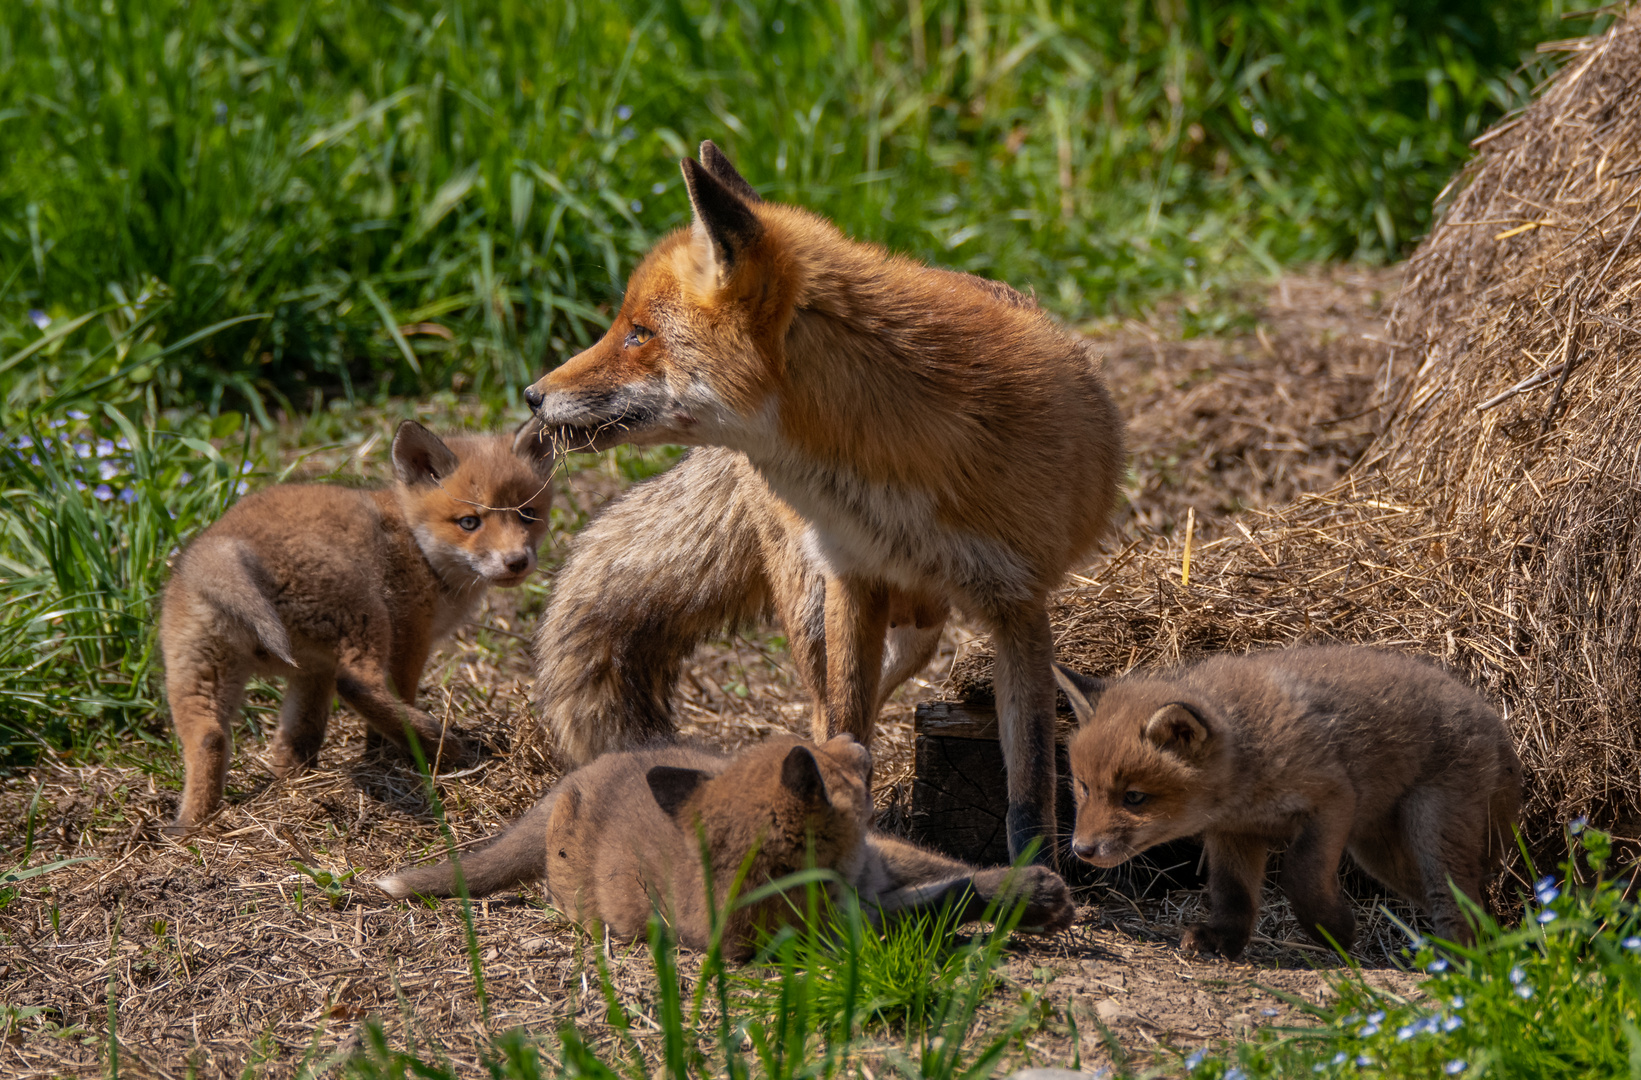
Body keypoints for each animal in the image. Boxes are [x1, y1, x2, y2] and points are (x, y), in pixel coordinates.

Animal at [159, 421, 554, 835]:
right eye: (469, 522)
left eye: (527, 514)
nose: (516, 562)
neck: (417, 546)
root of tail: (224, 547)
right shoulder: (408, 635)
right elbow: (393, 699)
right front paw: (389, 758)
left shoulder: (313, 670)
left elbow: (298, 733)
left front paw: (291, 774)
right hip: (368, 617)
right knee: (357, 686)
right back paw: (440, 745)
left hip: (198, 673)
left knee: (209, 738)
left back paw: (189, 826)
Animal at [374, 734, 1076, 959]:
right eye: (838, 766)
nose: (856, 740)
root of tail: (582, 774)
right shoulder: (843, 931)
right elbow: (945, 899)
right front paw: (1032, 899)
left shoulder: (881, 863)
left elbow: (960, 870)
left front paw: (1033, 889)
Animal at [516, 141, 1124, 864]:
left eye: (638, 333)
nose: (531, 395)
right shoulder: (851, 581)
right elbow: (844, 724)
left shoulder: (1018, 606)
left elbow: (1030, 785)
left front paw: (1034, 872)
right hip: (814, 600)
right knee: (823, 707)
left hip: (920, 626)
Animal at [1053, 646, 1522, 959]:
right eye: (1084, 787)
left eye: (1134, 797)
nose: (1081, 850)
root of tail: (1494, 719)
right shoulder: (1233, 831)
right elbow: (1232, 893)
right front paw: (1223, 940)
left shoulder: (1333, 801)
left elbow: (1301, 875)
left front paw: (1335, 931)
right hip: (1383, 856)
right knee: (1473, 905)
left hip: (1430, 830)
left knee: (1457, 900)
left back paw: (1459, 960)